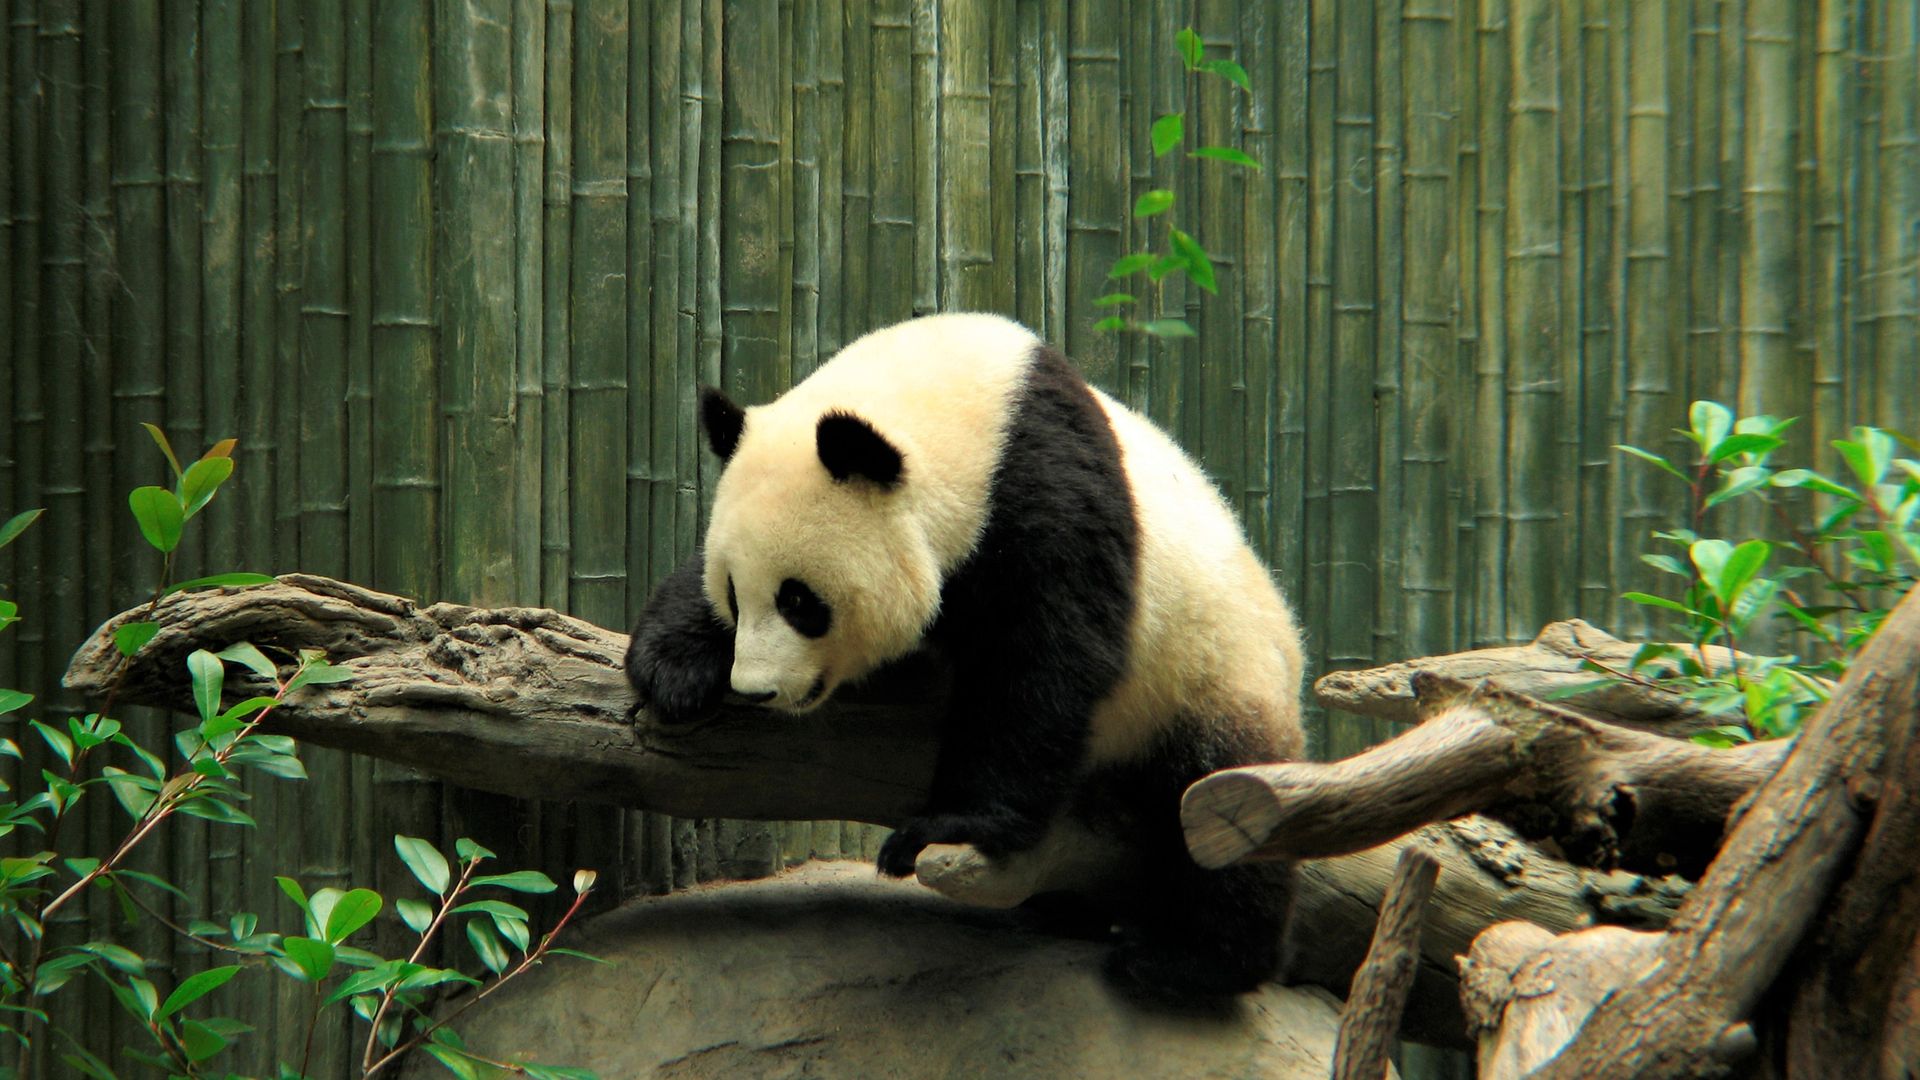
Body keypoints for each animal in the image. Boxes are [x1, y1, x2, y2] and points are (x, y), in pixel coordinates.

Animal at [624, 312, 1306, 997]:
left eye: (800, 600)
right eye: (735, 595)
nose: (757, 688)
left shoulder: (1049, 500)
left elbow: (1043, 665)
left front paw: (951, 825)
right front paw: (672, 666)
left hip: (1210, 675)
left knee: (1216, 812)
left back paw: (1186, 960)